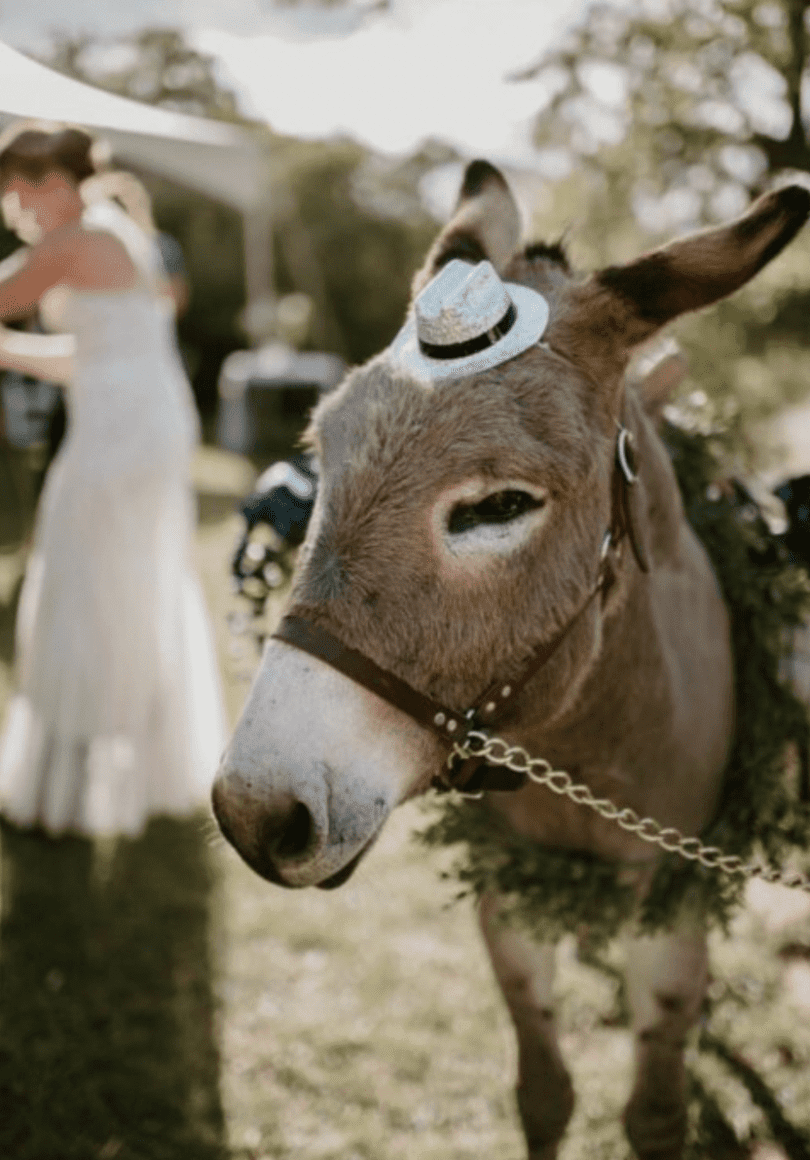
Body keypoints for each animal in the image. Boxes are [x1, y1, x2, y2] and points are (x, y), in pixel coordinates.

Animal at [212, 161, 810, 1159]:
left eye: (498, 505)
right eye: (318, 452)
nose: (255, 816)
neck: (589, 748)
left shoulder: (677, 917)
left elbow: (656, 1112)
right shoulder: (507, 908)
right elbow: (543, 1092)